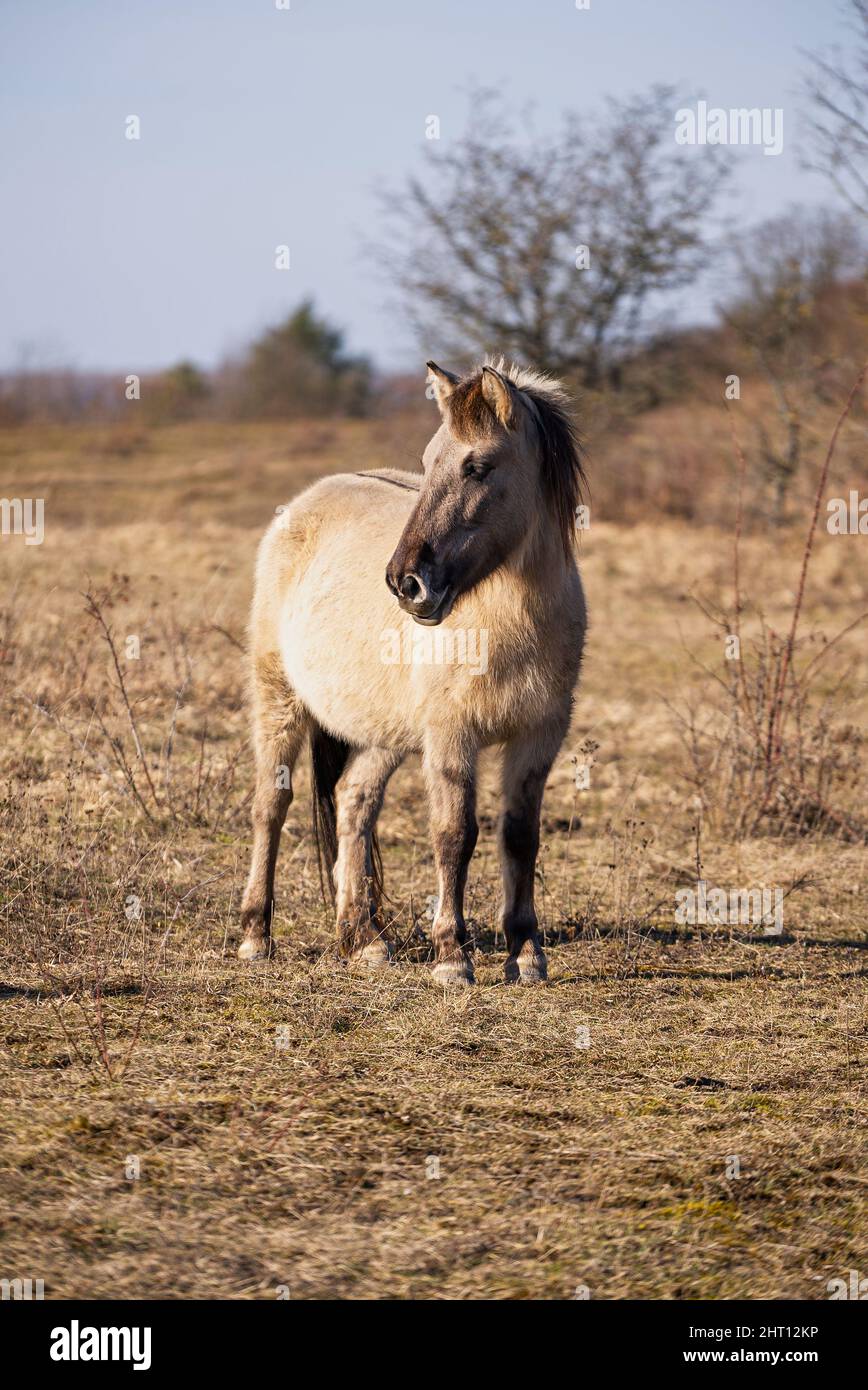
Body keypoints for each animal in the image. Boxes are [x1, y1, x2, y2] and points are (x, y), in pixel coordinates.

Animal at [237, 358, 587, 985]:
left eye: (478, 467)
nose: (405, 583)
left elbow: (520, 836)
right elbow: (454, 835)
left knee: (353, 801)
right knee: (270, 807)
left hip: (387, 734)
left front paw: (525, 952)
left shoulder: (538, 736)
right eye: (427, 464)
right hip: (278, 700)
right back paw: (256, 935)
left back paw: (364, 939)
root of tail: (303, 504)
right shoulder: (452, 737)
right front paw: (452, 956)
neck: (508, 620)